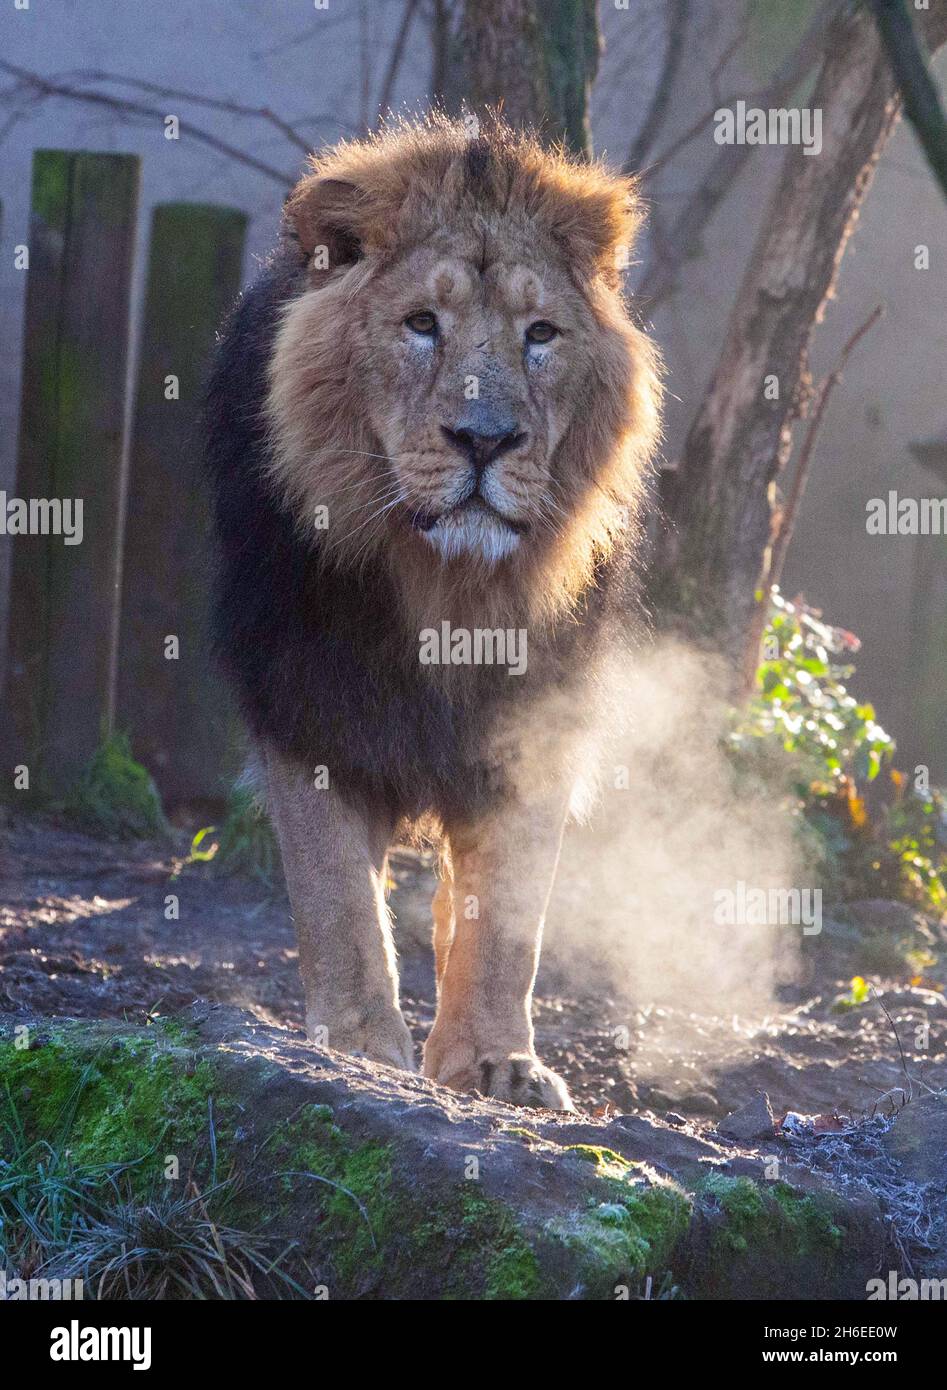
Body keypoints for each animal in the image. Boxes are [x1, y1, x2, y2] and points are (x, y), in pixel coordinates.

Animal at [205, 115, 662, 1111]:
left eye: (539, 335)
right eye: (421, 324)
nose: (485, 440)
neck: (446, 585)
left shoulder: (537, 725)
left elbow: (508, 920)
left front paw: (495, 1061)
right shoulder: (303, 703)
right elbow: (336, 897)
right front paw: (358, 1046)